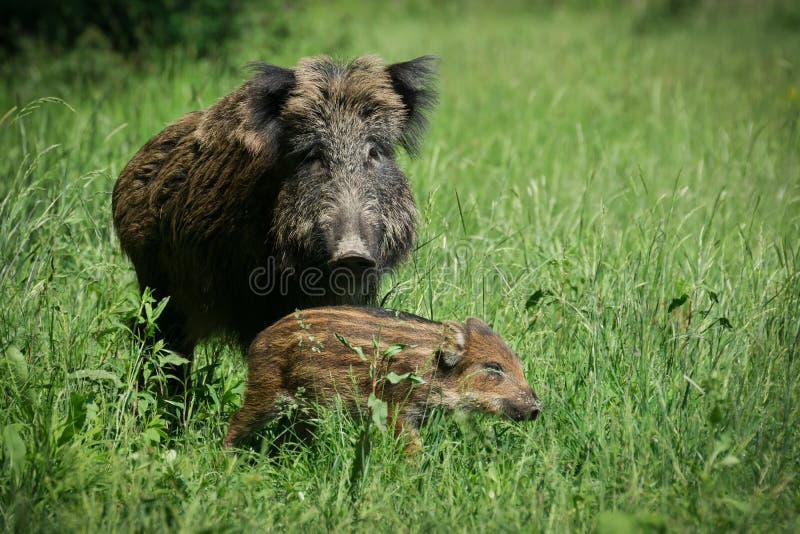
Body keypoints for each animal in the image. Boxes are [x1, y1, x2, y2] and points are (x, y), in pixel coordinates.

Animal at [112, 55, 437, 395]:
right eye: (314, 156)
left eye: (373, 152)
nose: (352, 253)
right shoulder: (256, 294)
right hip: (155, 282)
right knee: (157, 338)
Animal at [223, 306, 541, 452]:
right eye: (494, 367)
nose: (538, 407)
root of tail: (257, 341)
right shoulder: (393, 408)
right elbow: (413, 445)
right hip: (265, 390)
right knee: (237, 420)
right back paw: (227, 456)